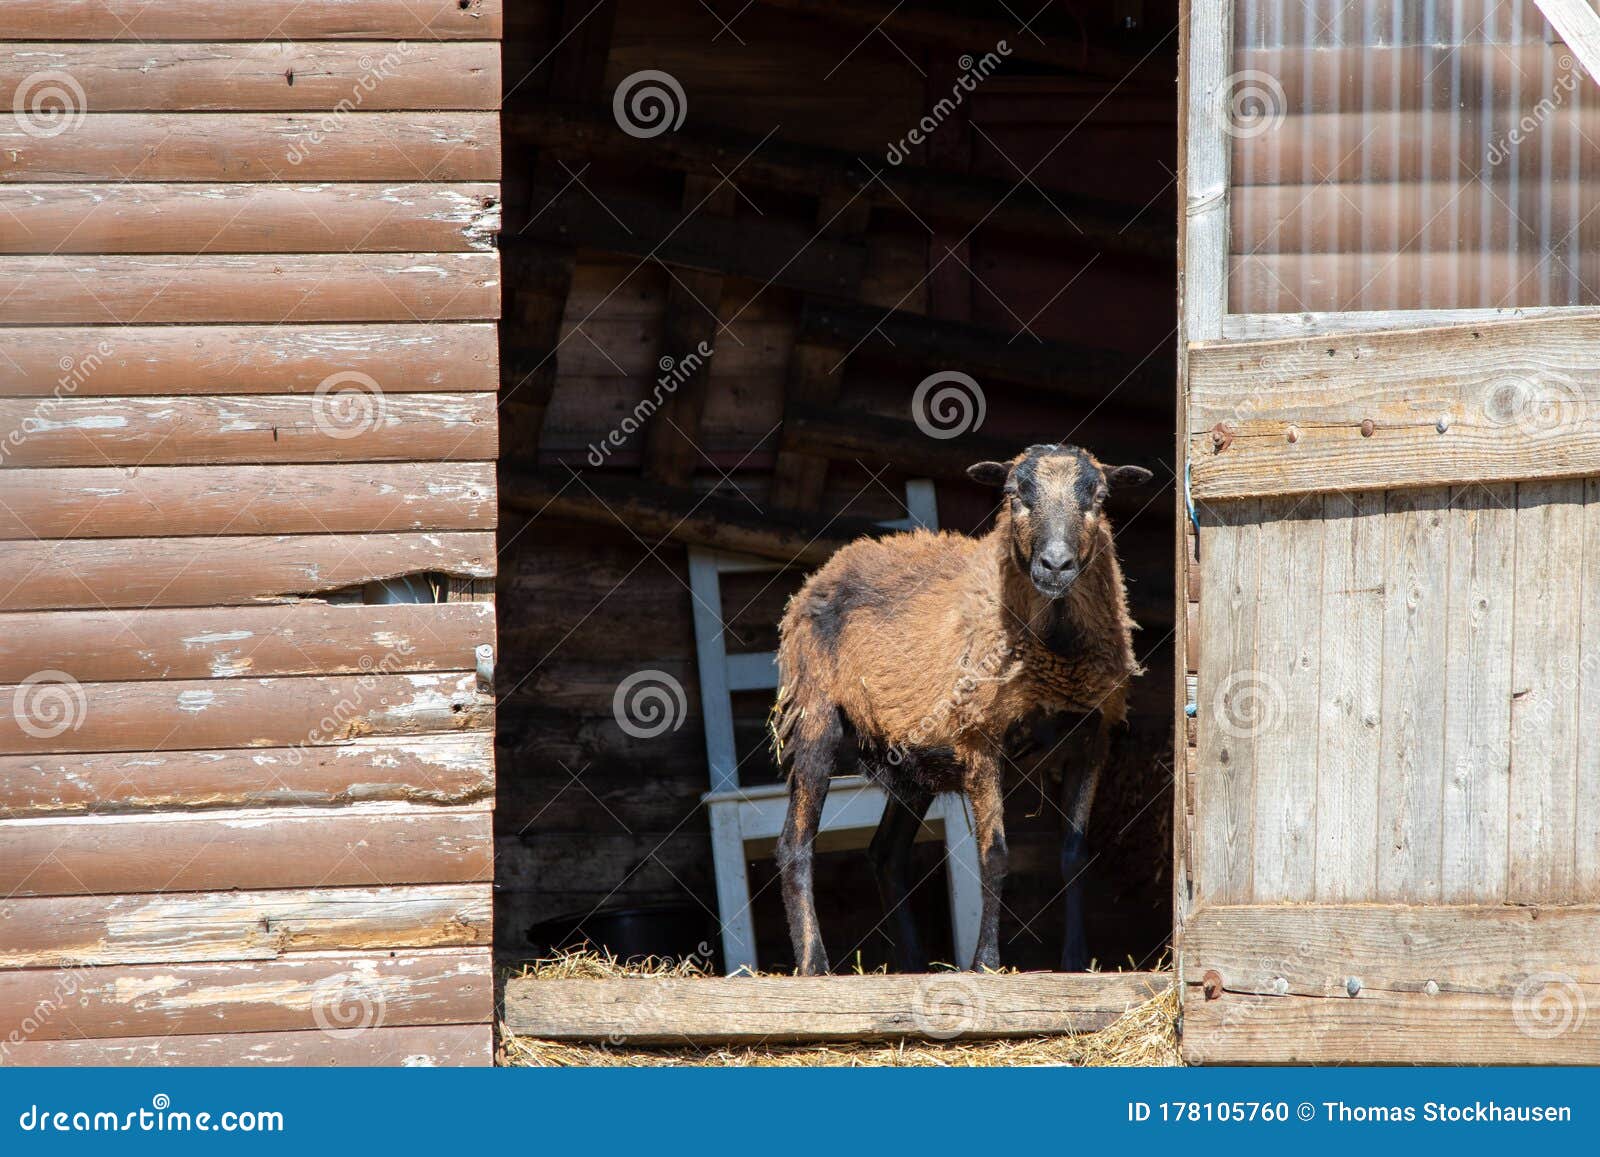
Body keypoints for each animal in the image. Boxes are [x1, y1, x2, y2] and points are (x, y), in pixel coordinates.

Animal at [770, 444, 1151, 973]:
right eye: (1014, 494)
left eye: (1098, 496)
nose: (1056, 565)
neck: (1057, 651)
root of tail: (831, 564)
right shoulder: (981, 738)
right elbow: (995, 854)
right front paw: (986, 962)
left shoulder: (1093, 740)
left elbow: (1075, 854)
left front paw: (1077, 961)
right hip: (814, 711)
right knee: (794, 843)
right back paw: (813, 965)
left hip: (910, 763)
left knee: (885, 855)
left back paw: (911, 962)